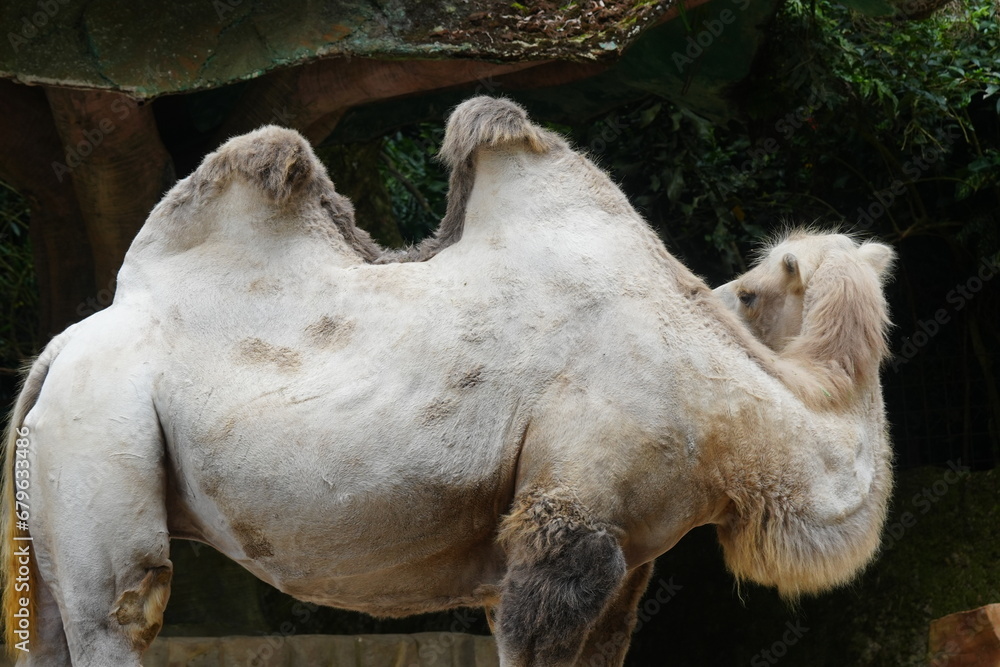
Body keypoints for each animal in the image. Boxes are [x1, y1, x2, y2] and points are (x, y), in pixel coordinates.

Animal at [1, 97, 894, 666]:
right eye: (751, 293)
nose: (730, 290)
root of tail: (57, 351)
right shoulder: (568, 518)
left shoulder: (628, 546)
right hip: (100, 424)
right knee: (122, 607)